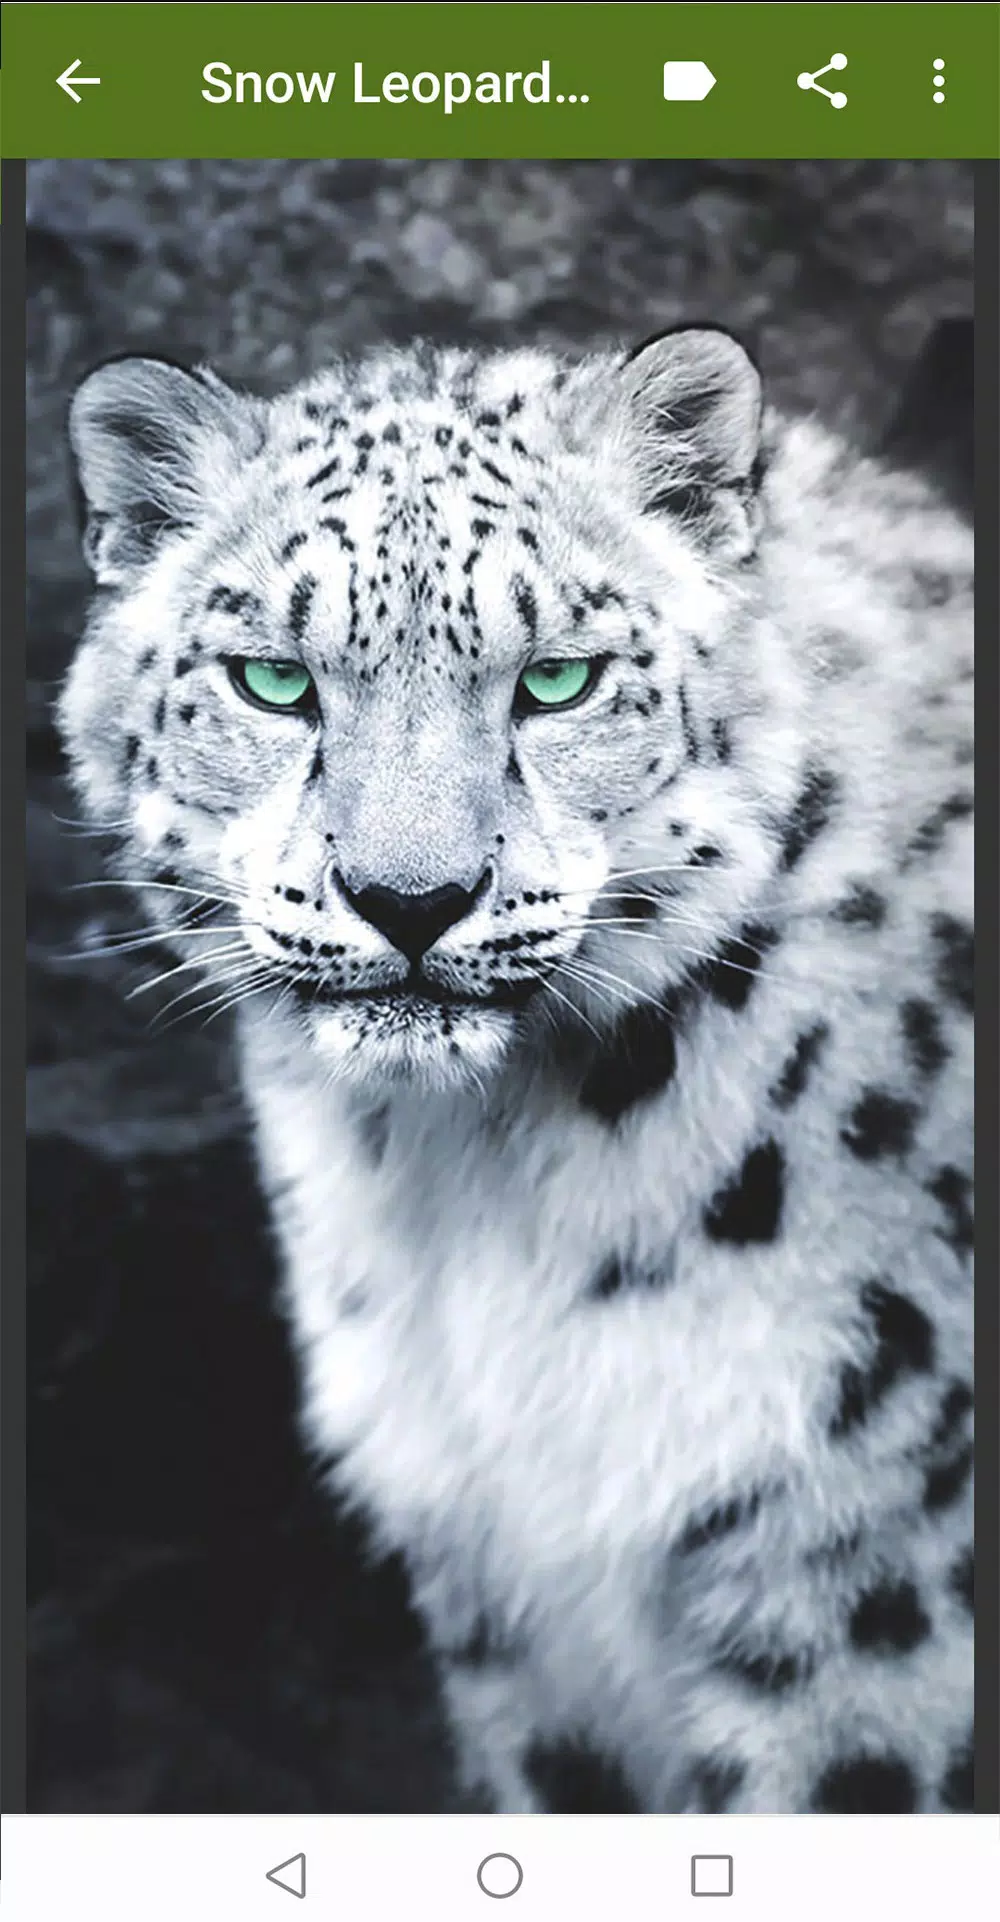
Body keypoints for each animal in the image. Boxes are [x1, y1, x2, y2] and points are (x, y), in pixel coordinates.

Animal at [58, 323, 974, 1814]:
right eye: (273, 678)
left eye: (558, 678)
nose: (407, 897)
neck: (477, 1191)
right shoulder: (511, 1600)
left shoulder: (856, 1554)